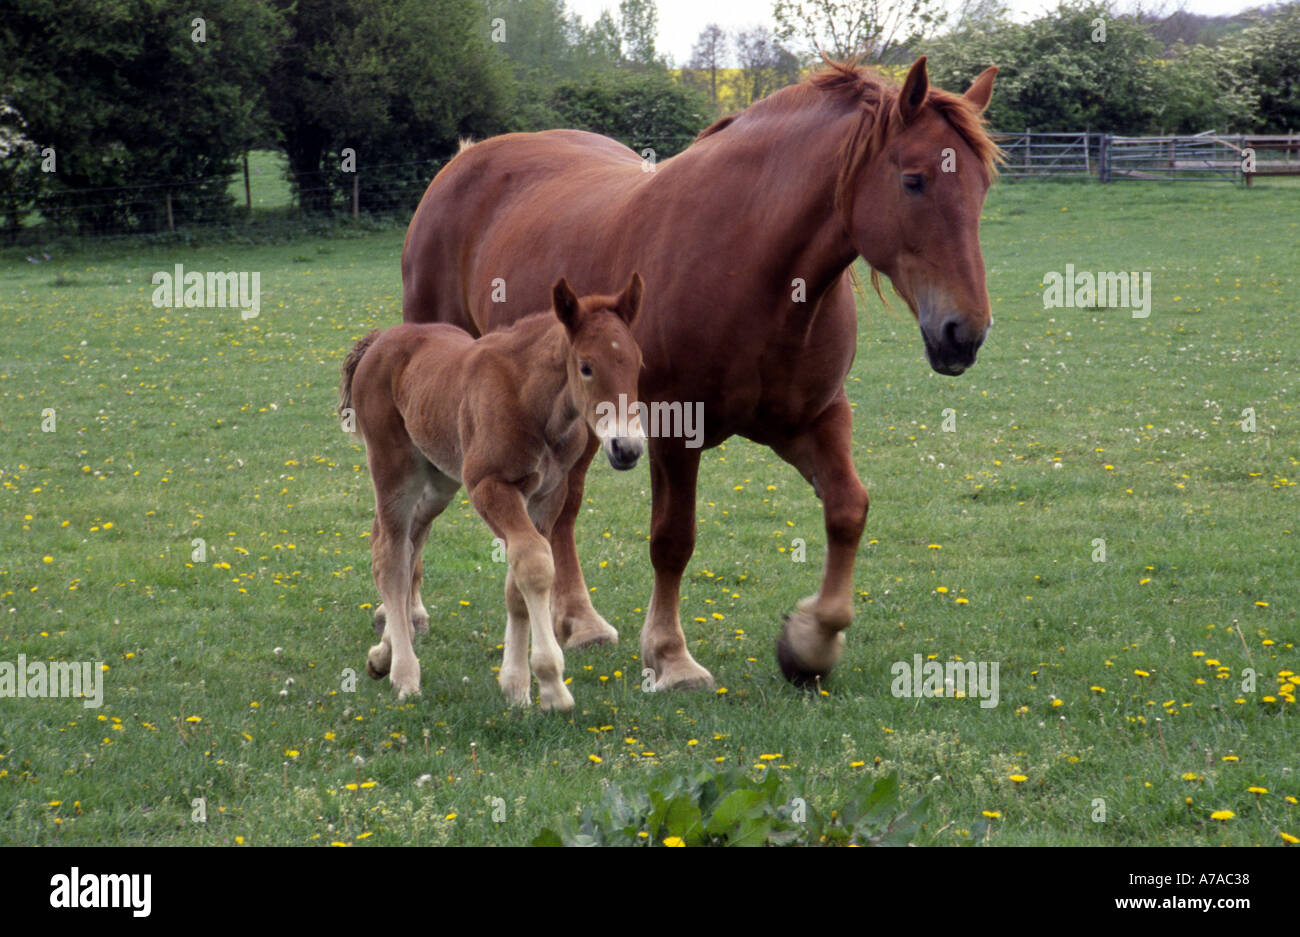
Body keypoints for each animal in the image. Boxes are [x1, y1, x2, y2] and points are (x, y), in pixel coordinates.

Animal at [338, 273, 647, 708]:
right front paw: (552, 685)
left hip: (440, 479)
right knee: (390, 554)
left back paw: (383, 655)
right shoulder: (490, 485)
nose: (627, 448)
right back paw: (405, 674)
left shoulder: (547, 494)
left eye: (637, 363)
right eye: (586, 367)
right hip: (394, 468)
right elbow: (534, 564)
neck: (533, 399)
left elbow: (518, 578)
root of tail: (380, 339)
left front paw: (516, 686)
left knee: (411, 541)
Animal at [399, 56, 1000, 691]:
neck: (756, 265)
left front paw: (811, 641)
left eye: (982, 187)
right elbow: (673, 540)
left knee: (563, 510)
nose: (965, 331)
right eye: (913, 180)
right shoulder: (672, 431)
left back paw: (580, 621)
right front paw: (671, 656)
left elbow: (847, 510)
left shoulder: (812, 421)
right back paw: (410, 613)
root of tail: (464, 160)